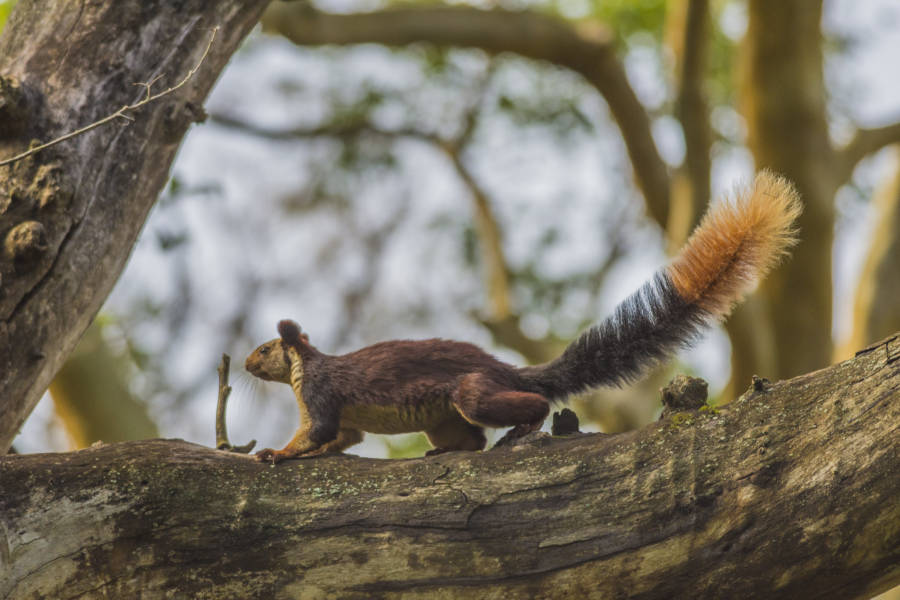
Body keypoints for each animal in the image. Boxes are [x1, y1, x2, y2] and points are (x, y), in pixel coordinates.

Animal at [246, 171, 801, 463]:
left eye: (265, 348)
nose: (248, 365)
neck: (303, 368)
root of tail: (507, 370)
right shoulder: (339, 419)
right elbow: (339, 439)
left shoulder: (322, 395)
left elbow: (316, 434)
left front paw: (277, 453)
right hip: (442, 420)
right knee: (470, 440)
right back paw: (445, 453)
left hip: (471, 395)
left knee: (528, 405)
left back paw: (521, 429)